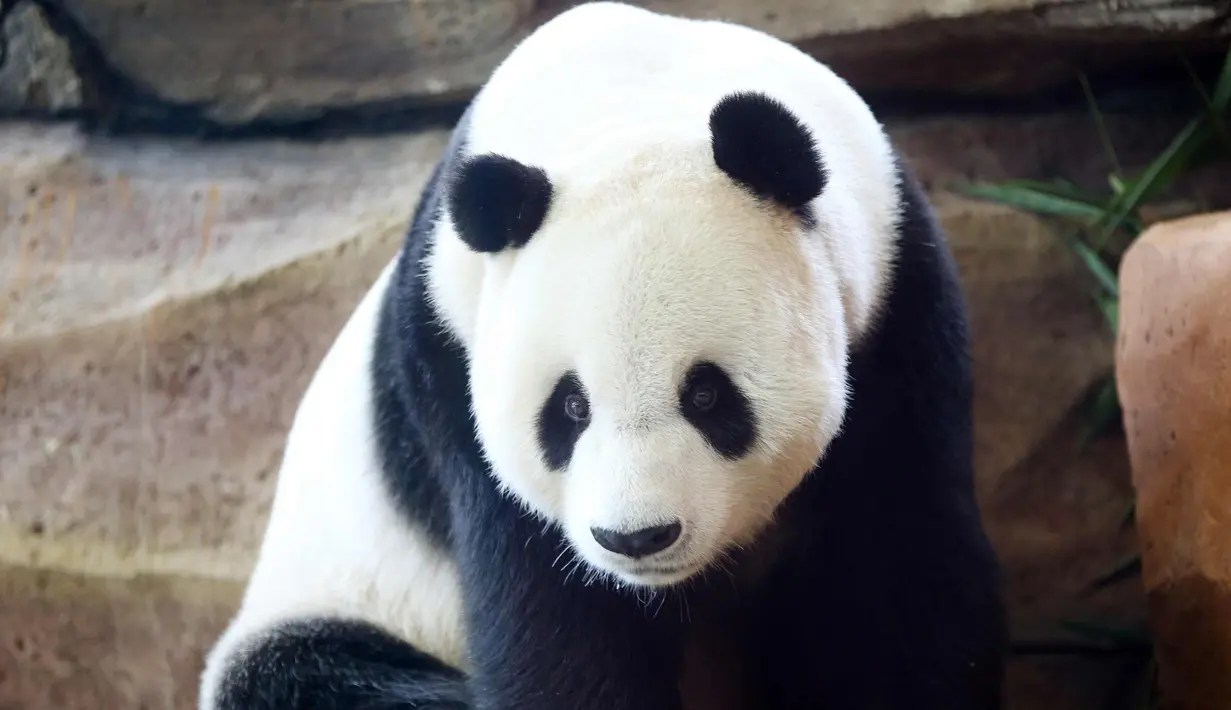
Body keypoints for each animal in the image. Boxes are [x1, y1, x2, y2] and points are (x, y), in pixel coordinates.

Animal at [198, 2, 1007, 709]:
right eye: (569, 407)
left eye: (707, 395)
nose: (637, 537)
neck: (631, 103)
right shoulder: (452, 361)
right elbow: (553, 624)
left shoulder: (897, 310)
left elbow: (897, 580)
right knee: (302, 677)